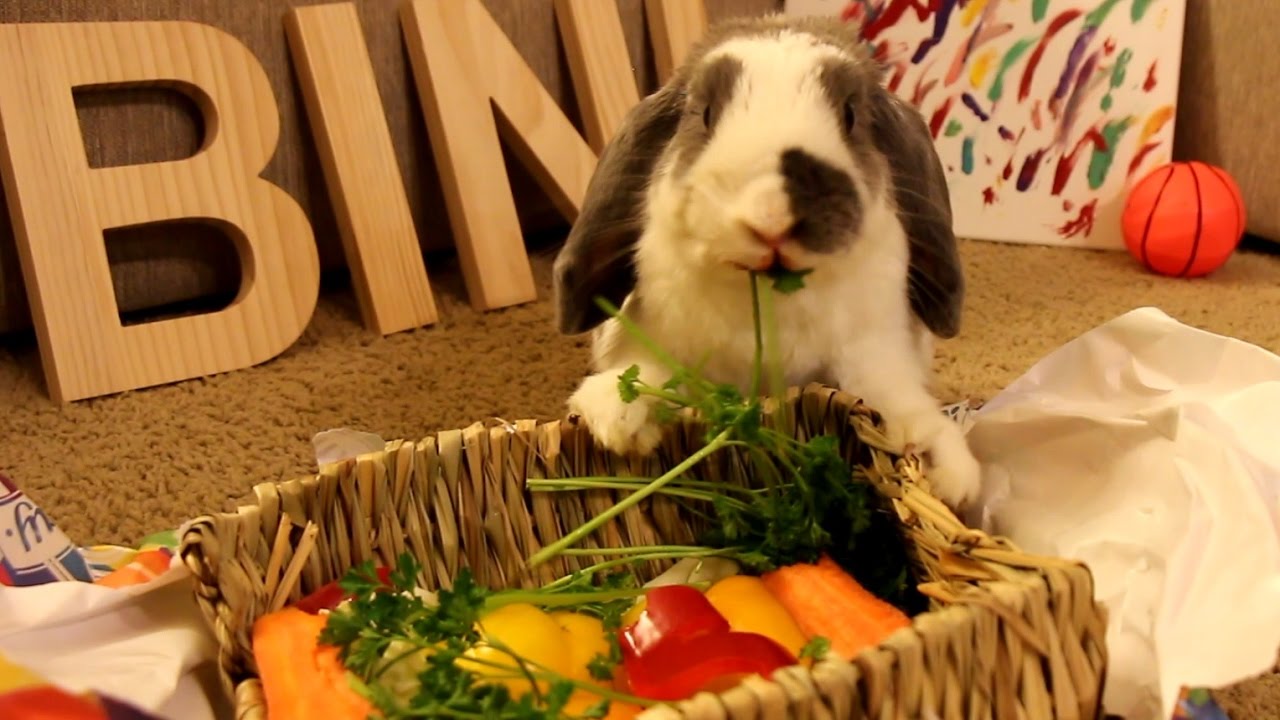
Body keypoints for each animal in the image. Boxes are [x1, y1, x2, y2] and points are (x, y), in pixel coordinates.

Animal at [550, 13, 981, 510]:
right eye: (705, 114)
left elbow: (891, 398)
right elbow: (651, 372)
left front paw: (942, 466)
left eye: (851, 115)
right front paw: (619, 416)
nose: (771, 214)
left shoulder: (874, 355)